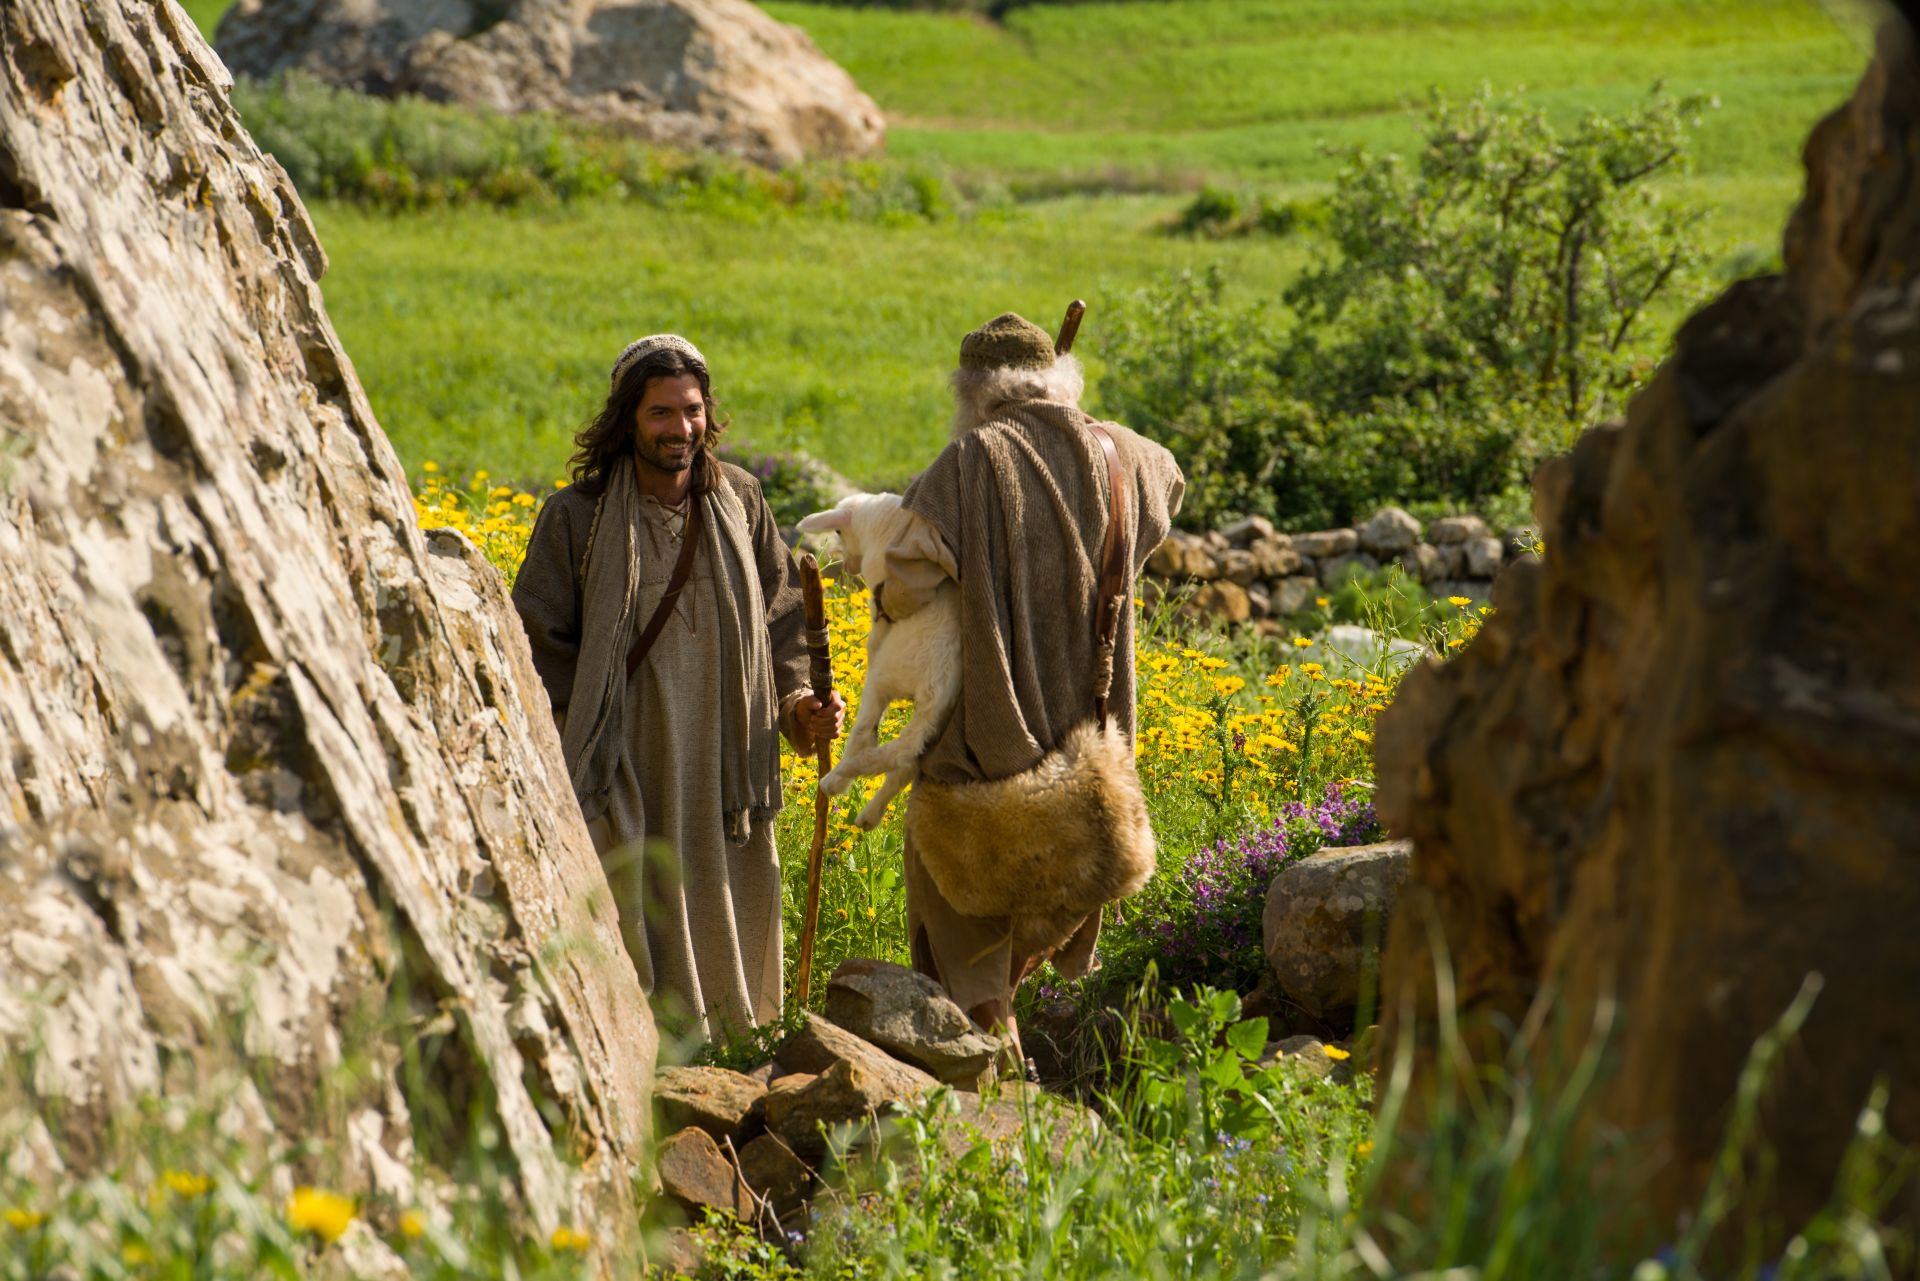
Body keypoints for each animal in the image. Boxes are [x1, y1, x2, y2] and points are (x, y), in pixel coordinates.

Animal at [796, 493, 960, 830]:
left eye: (839, 531)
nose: (846, 565)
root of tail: (940, 679)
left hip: (885, 678)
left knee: (874, 739)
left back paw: (838, 779)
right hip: (942, 714)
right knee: (909, 759)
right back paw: (868, 816)